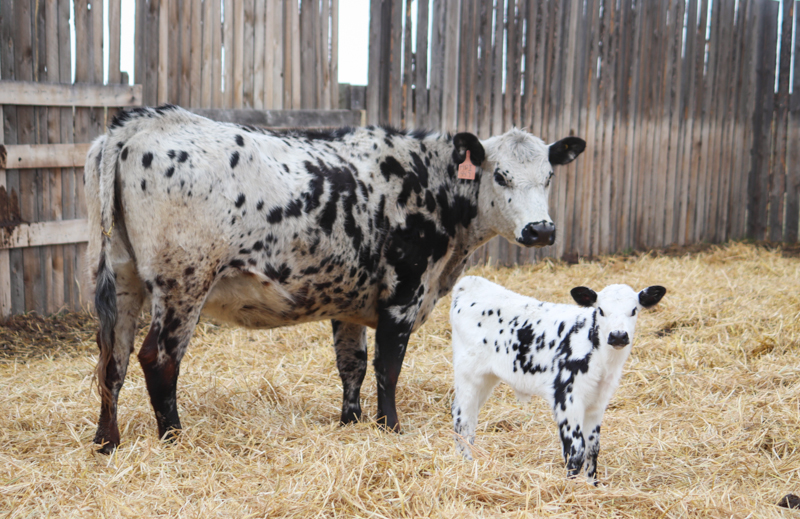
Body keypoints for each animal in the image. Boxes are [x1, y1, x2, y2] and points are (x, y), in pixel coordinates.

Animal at [85, 104, 586, 453]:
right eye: (500, 175)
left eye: (548, 175)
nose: (541, 230)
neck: (430, 185)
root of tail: (144, 121)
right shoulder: (403, 295)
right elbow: (388, 368)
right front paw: (390, 427)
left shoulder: (350, 301)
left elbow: (353, 365)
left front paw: (351, 420)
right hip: (183, 283)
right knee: (158, 360)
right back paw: (174, 437)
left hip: (123, 278)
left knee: (113, 360)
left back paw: (106, 441)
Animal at [449, 277, 666, 483]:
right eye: (601, 310)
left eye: (634, 310)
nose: (618, 336)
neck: (601, 360)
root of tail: (470, 282)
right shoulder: (566, 397)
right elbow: (576, 449)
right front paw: (569, 487)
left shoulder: (597, 403)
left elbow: (592, 449)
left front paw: (591, 486)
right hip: (468, 375)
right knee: (462, 419)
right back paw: (466, 462)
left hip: (486, 379)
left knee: (469, 418)